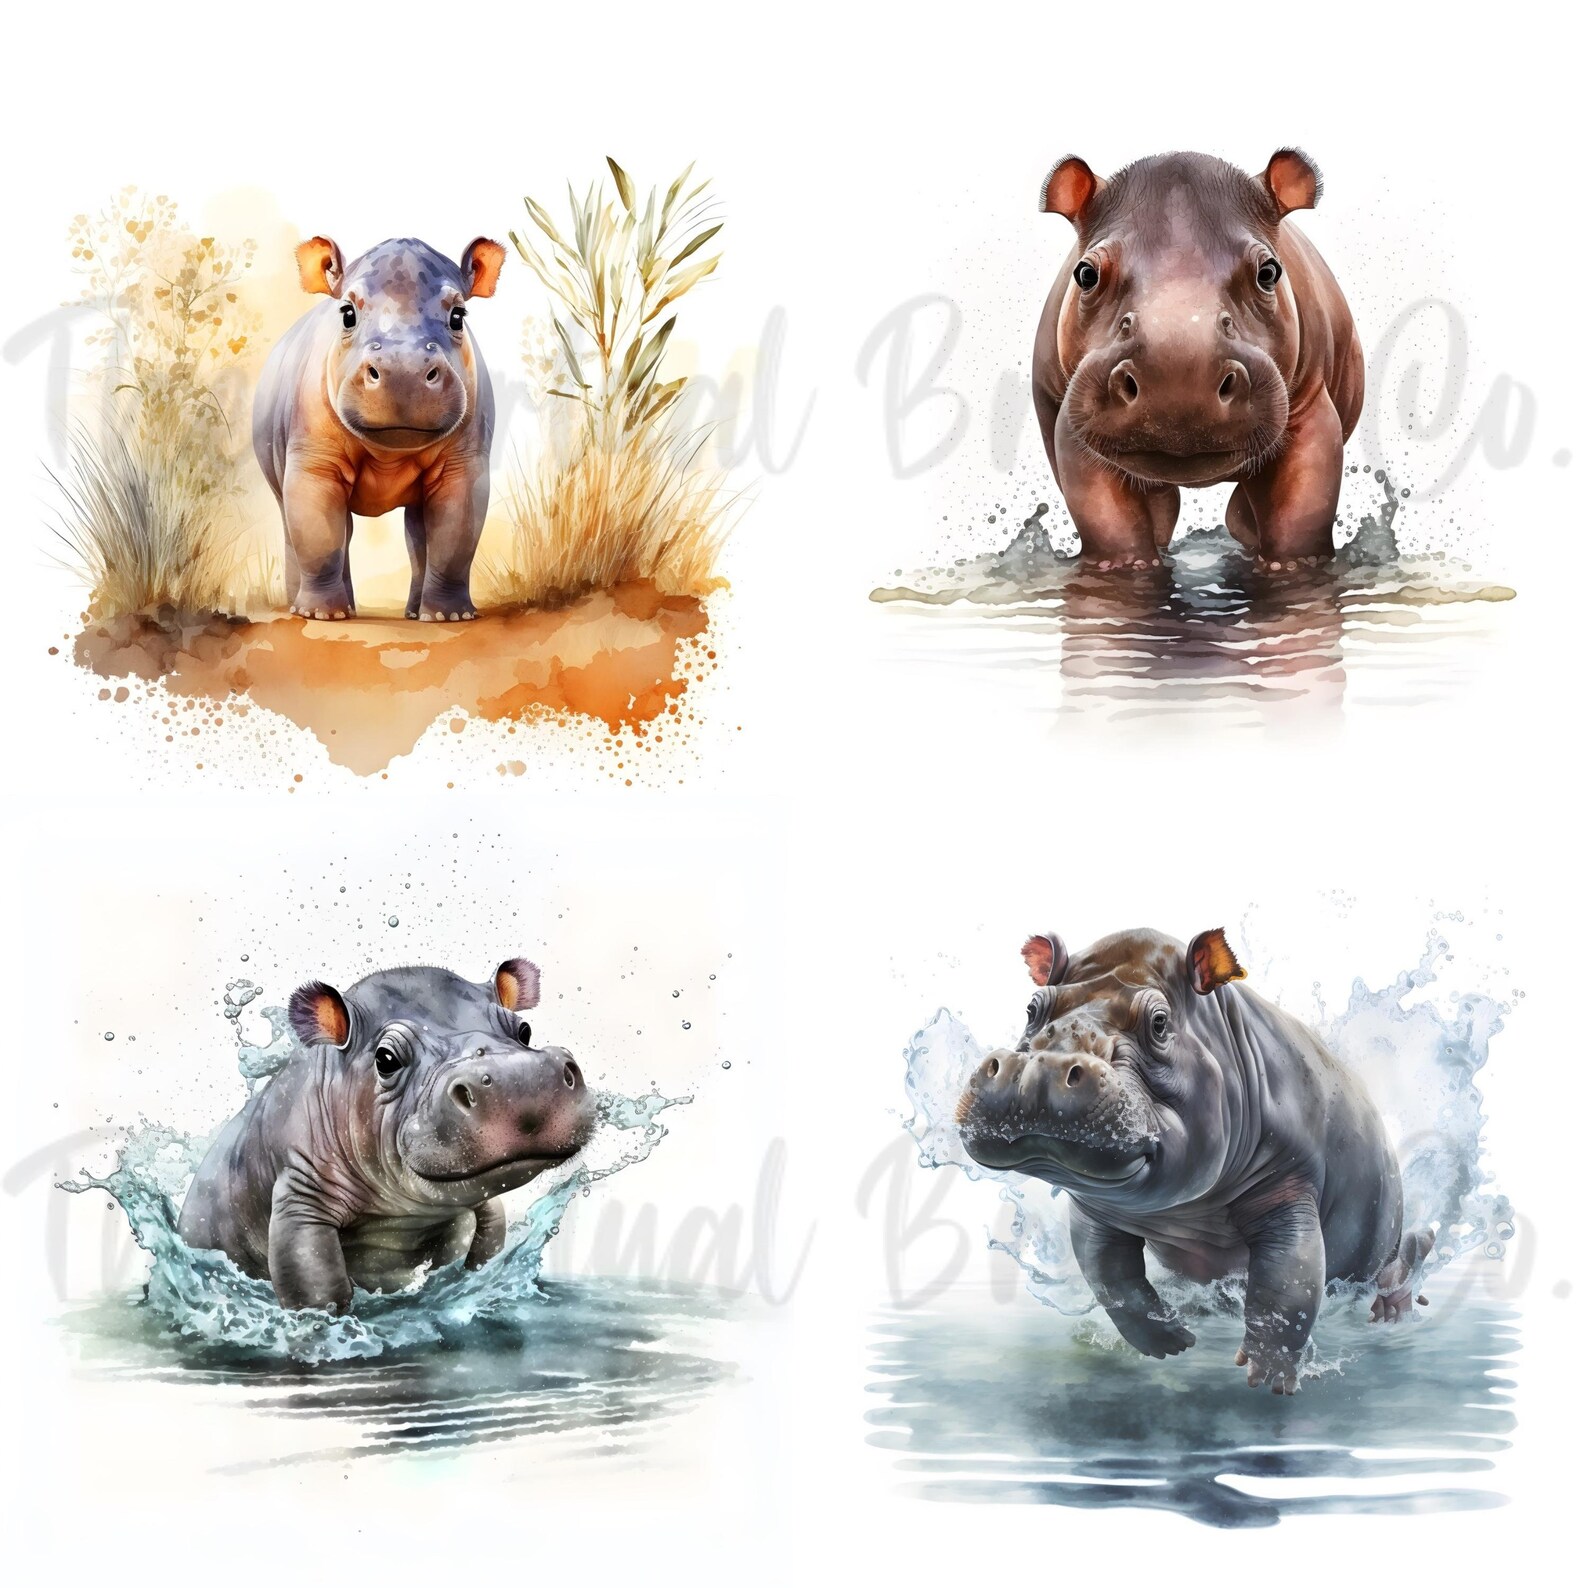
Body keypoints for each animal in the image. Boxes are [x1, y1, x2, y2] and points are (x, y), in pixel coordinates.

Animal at [177, 959, 593, 1311]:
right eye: (386, 1059)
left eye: (524, 1031)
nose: (521, 1079)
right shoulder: (300, 1196)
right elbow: (316, 1285)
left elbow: (487, 1246)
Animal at [252, 234, 506, 621]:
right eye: (347, 314)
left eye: (458, 316)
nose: (403, 370)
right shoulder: (315, 461)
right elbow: (318, 536)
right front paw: (321, 615)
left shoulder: (463, 467)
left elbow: (454, 539)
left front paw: (450, 617)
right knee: (300, 523)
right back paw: (309, 609)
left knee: (418, 533)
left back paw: (416, 615)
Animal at [956, 928, 1430, 1393]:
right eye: (1032, 1008)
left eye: (1159, 1022)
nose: (1040, 1069)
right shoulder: (1095, 1209)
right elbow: (1110, 1279)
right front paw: (1172, 1343)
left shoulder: (1288, 1182)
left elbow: (1288, 1284)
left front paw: (1269, 1378)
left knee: (1398, 1261)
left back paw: (1393, 1312)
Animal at [1033, 150, 1364, 571]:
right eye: (1086, 274)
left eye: (1269, 271)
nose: (1178, 385)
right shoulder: (1073, 427)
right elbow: (1108, 519)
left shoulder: (1310, 410)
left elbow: (1300, 514)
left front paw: (1289, 570)